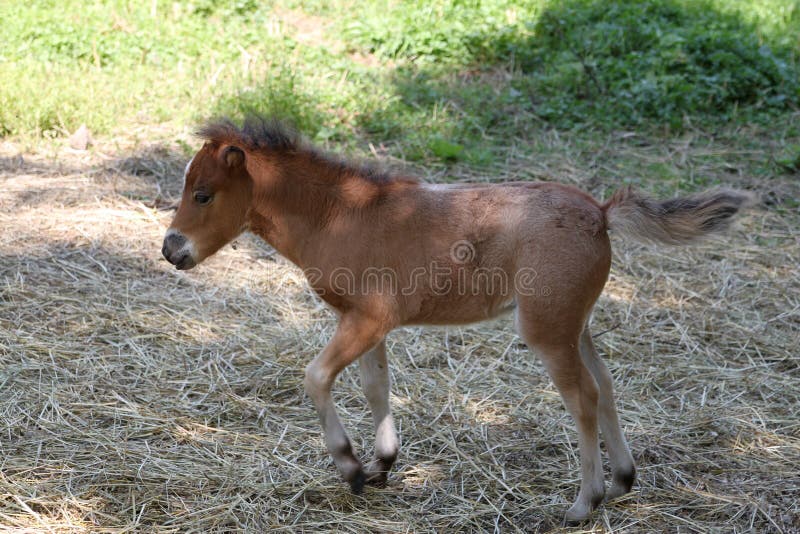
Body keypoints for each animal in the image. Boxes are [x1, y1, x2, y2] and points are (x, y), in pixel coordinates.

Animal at [161, 115, 753, 522]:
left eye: (203, 194)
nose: (171, 250)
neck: (340, 215)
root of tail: (602, 213)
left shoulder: (367, 319)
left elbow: (316, 376)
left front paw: (350, 466)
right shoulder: (366, 321)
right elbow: (376, 386)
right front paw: (381, 465)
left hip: (545, 330)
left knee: (583, 396)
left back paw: (584, 503)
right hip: (573, 322)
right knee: (605, 385)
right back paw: (624, 480)